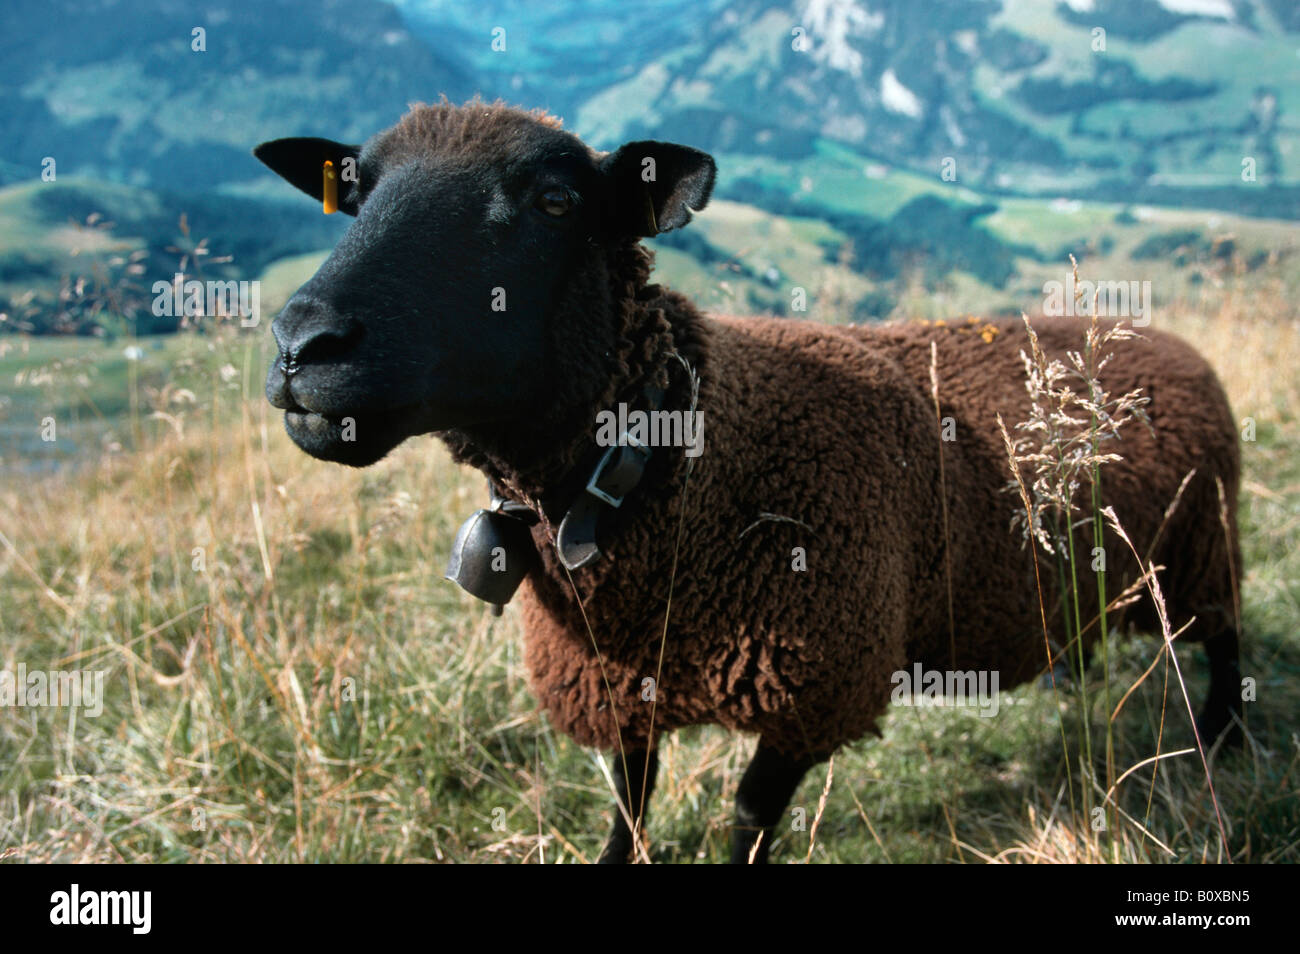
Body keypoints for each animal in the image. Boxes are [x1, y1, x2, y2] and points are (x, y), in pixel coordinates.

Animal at [254, 100, 1243, 863]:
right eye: (355, 194)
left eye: (555, 199)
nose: (304, 346)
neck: (675, 465)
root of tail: (1167, 340)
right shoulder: (619, 686)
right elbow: (629, 806)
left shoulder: (815, 688)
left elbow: (748, 815)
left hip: (1203, 548)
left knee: (1226, 638)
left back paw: (1224, 739)